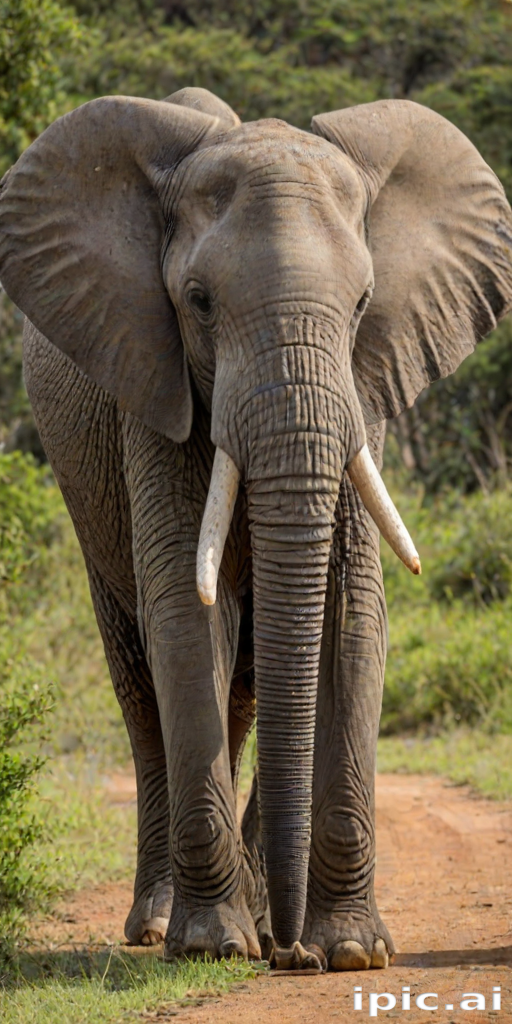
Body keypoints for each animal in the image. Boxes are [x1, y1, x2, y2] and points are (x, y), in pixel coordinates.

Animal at [0, 86, 511, 972]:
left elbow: (351, 617)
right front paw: (213, 946)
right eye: (199, 303)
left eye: (364, 304)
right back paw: (167, 926)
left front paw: (351, 952)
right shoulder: (151, 380)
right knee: (141, 686)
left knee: (252, 684)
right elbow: (184, 609)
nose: (292, 955)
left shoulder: (364, 394)